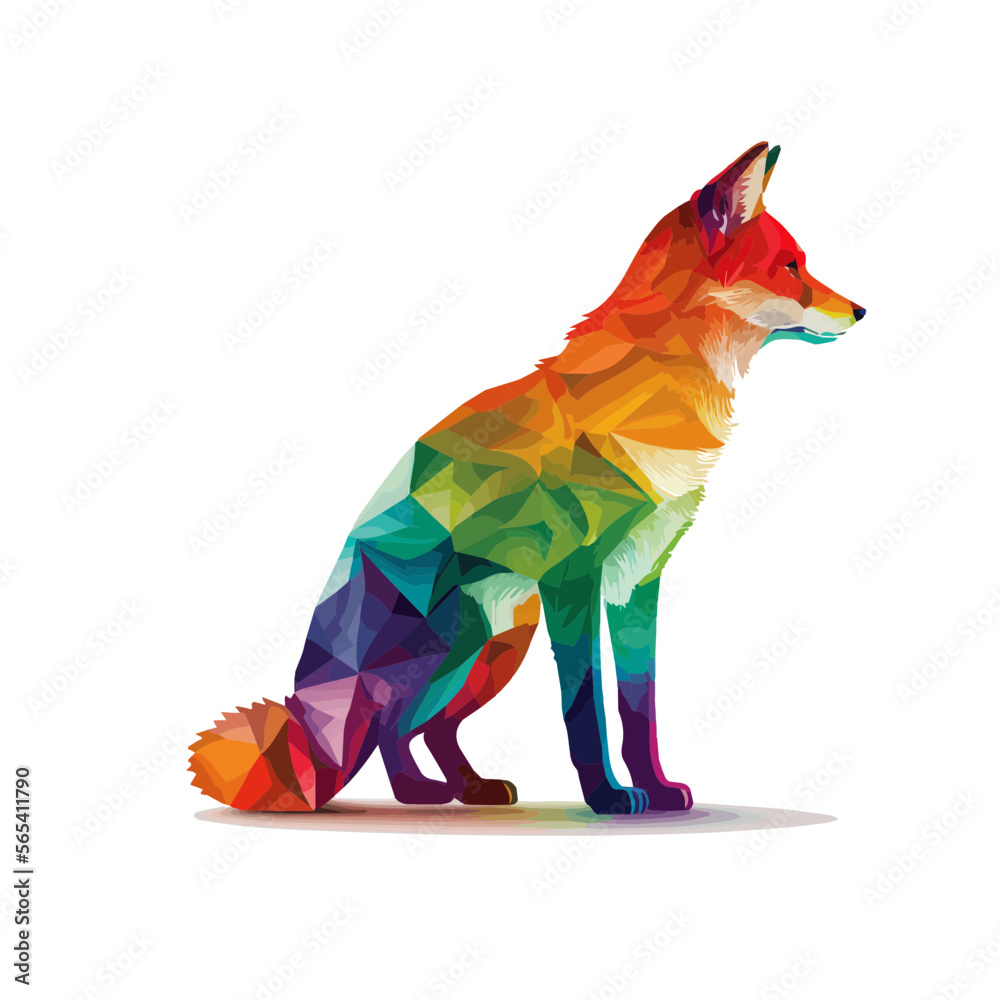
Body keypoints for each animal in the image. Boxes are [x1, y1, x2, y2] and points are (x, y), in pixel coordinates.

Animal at [189, 141, 865, 816]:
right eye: (791, 266)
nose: (861, 310)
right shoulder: (575, 579)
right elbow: (586, 710)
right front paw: (607, 798)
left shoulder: (637, 580)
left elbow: (637, 707)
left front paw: (654, 789)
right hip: (450, 642)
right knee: (388, 722)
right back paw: (418, 794)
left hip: (496, 647)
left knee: (427, 727)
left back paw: (470, 790)